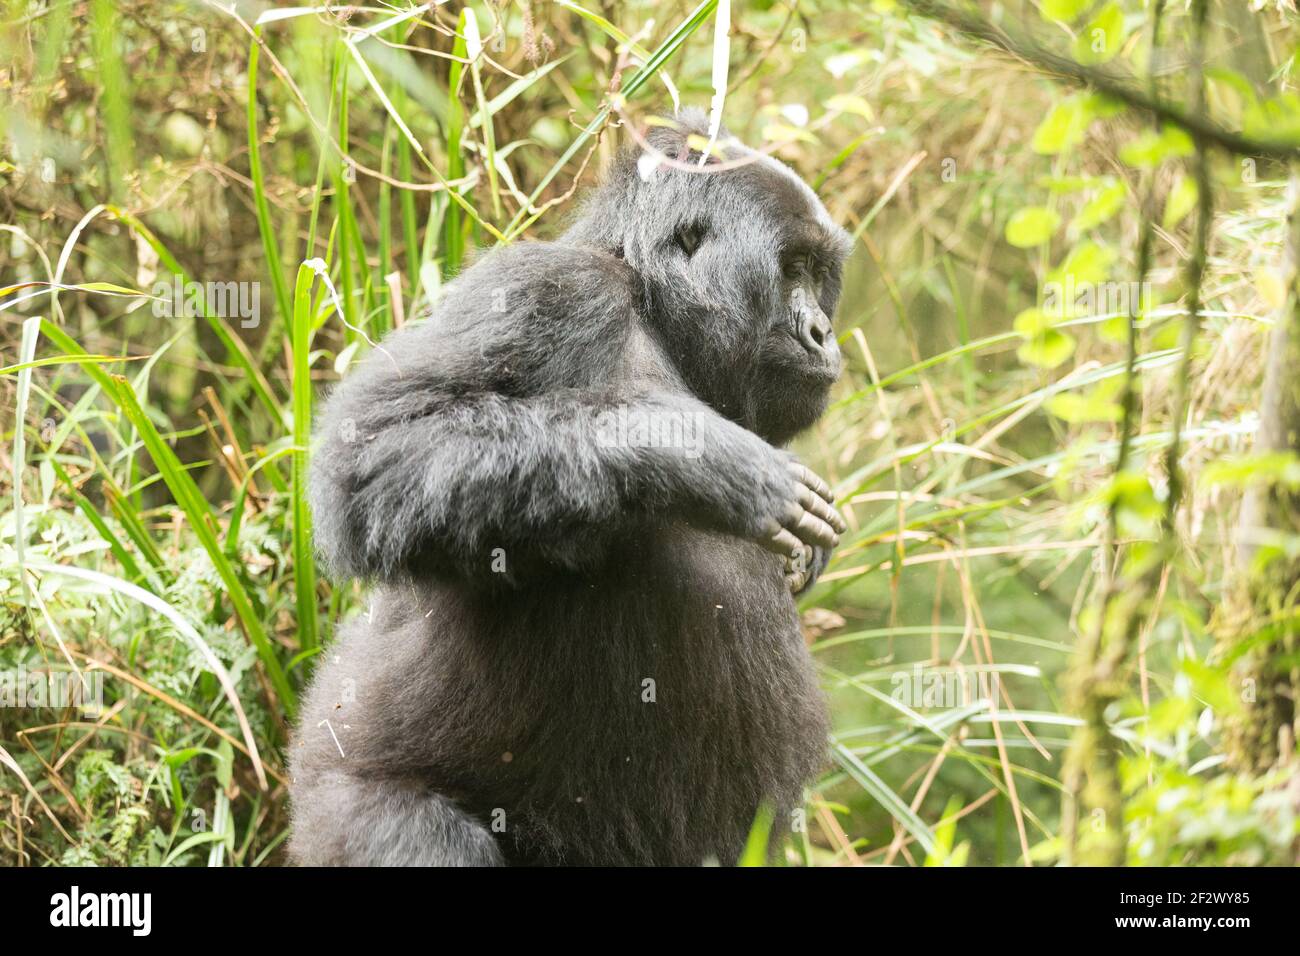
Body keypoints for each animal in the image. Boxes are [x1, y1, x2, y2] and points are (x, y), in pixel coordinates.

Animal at [288, 109, 853, 866]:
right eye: (790, 269)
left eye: (819, 276)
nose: (823, 331)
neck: (654, 311)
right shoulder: (549, 289)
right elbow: (378, 452)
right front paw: (703, 459)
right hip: (340, 799)